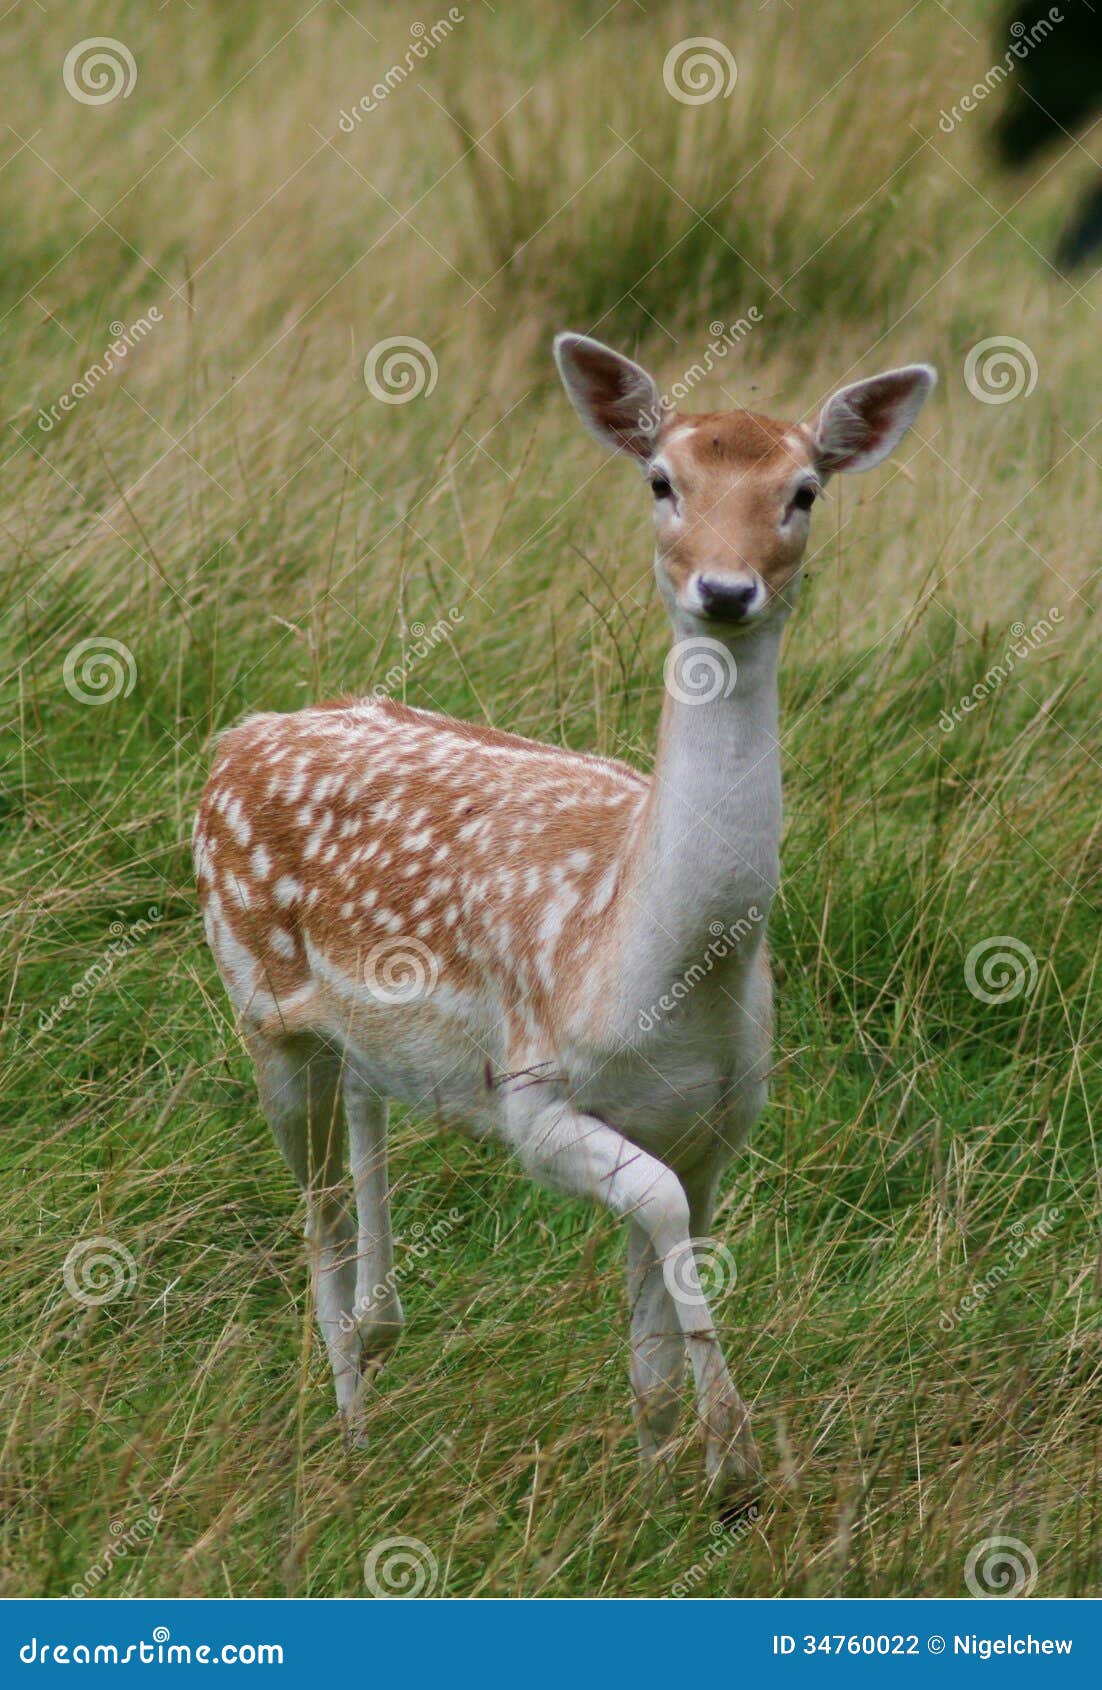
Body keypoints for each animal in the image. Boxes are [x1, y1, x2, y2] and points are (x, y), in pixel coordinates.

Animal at [194, 333, 935, 1513]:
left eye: (803, 491)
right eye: (662, 480)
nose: (726, 588)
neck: (652, 970)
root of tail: (235, 739)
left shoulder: (721, 1122)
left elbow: (657, 1317)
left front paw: (663, 1486)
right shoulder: (532, 1093)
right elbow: (659, 1210)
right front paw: (734, 1460)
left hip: (359, 1033)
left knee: (364, 1101)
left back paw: (385, 1328)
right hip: (257, 1003)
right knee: (312, 1216)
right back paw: (351, 1427)